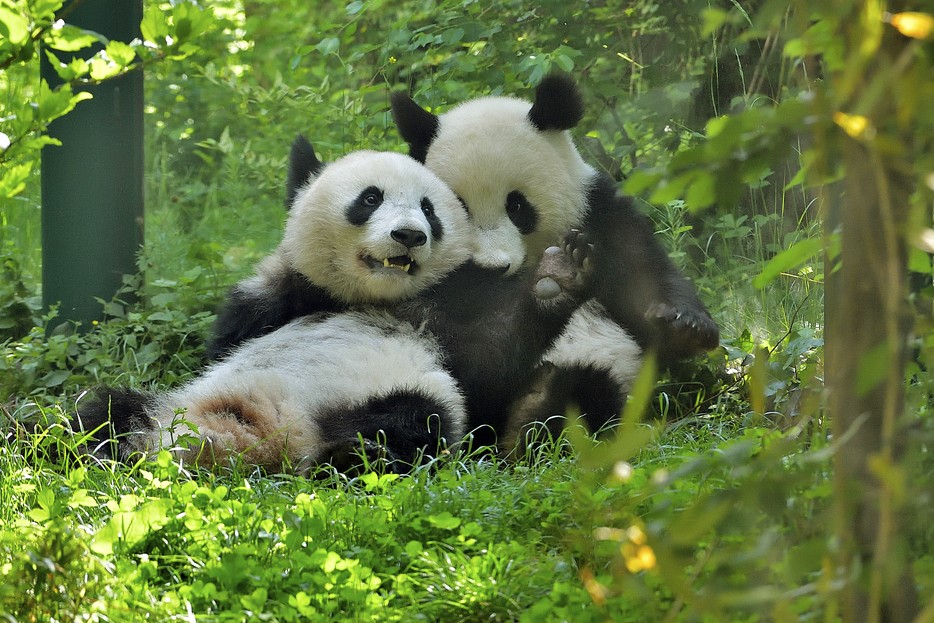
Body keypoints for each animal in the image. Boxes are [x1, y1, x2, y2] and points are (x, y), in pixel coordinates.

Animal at [76, 148, 596, 471]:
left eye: (430, 210)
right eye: (371, 198)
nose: (409, 235)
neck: (369, 297)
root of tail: (255, 432)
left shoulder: (451, 311)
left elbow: (488, 362)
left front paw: (556, 279)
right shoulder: (273, 301)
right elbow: (228, 342)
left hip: (381, 397)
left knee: (415, 420)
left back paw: (351, 453)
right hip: (173, 405)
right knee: (101, 413)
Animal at [389, 72, 720, 435]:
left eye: (517, 206)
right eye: (459, 208)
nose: (492, 267)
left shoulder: (598, 213)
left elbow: (644, 278)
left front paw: (686, 326)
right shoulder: (437, 287)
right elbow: (472, 361)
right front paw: (553, 287)